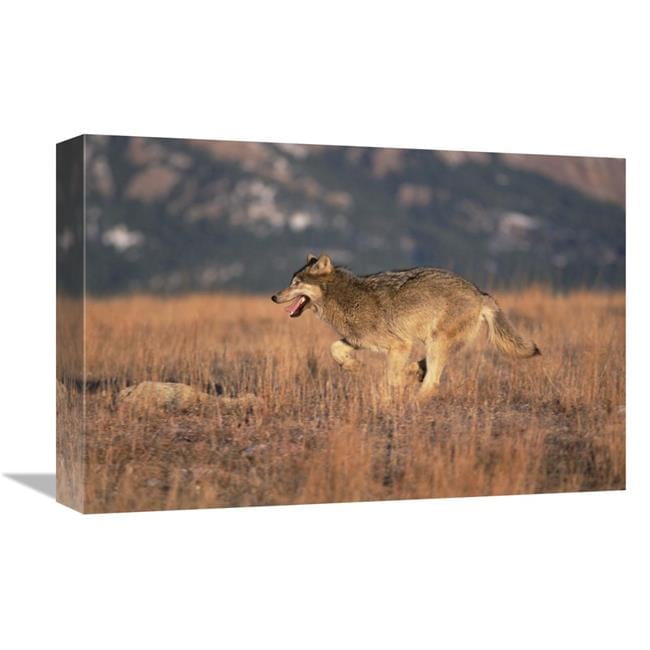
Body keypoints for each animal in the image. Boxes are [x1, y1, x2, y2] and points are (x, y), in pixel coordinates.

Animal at [271, 254, 540, 400]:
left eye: (295, 283)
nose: (274, 297)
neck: (346, 298)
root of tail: (479, 293)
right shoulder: (360, 341)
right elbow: (334, 348)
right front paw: (353, 366)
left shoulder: (400, 345)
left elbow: (391, 381)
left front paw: (387, 401)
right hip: (437, 344)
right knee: (427, 370)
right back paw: (413, 372)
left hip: (436, 342)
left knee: (432, 383)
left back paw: (413, 396)